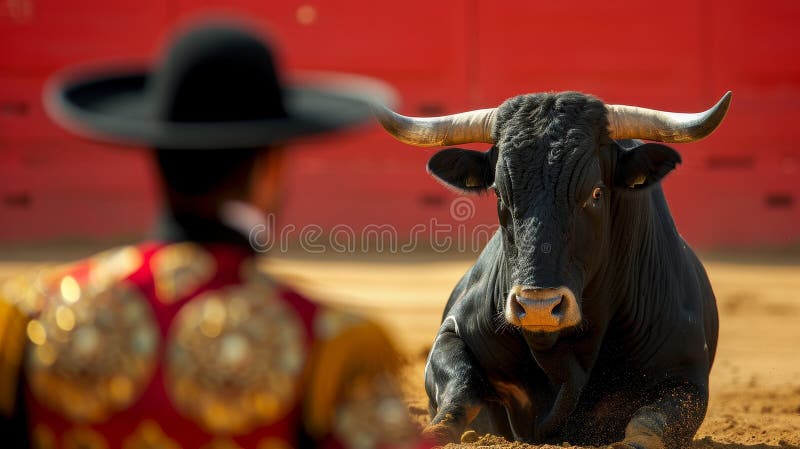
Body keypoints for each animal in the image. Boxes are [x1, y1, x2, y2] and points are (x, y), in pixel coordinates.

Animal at [375, 91, 730, 449]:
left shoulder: (687, 376)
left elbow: (648, 425)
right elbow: (460, 395)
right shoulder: (453, 333)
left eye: (596, 193)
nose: (538, 307)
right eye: (499, 193)